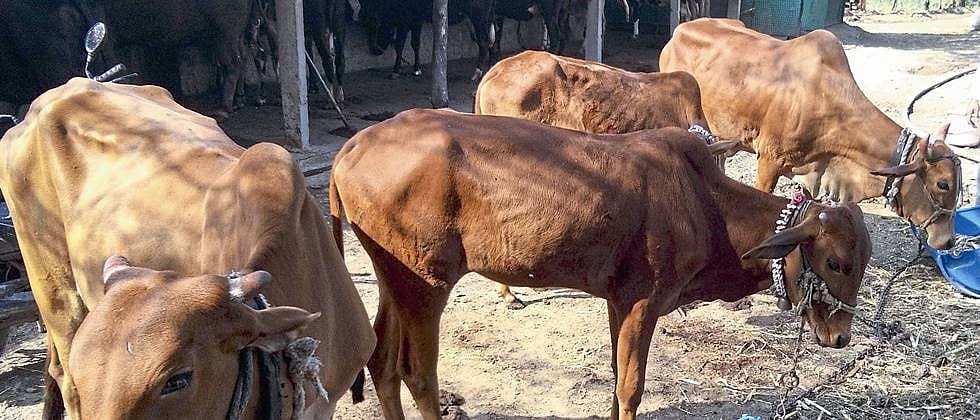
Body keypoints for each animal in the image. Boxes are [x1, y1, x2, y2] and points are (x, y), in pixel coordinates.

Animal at [329, 108, 872, 419]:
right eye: (836, 263)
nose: (841, 337)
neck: (705, 203)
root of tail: (351, 148)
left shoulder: (618, 300)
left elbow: (615, 379)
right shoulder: (645, 302)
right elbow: (631, 389)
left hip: (394, 277)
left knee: (381, 363)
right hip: (427, 282)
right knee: (417, 374)